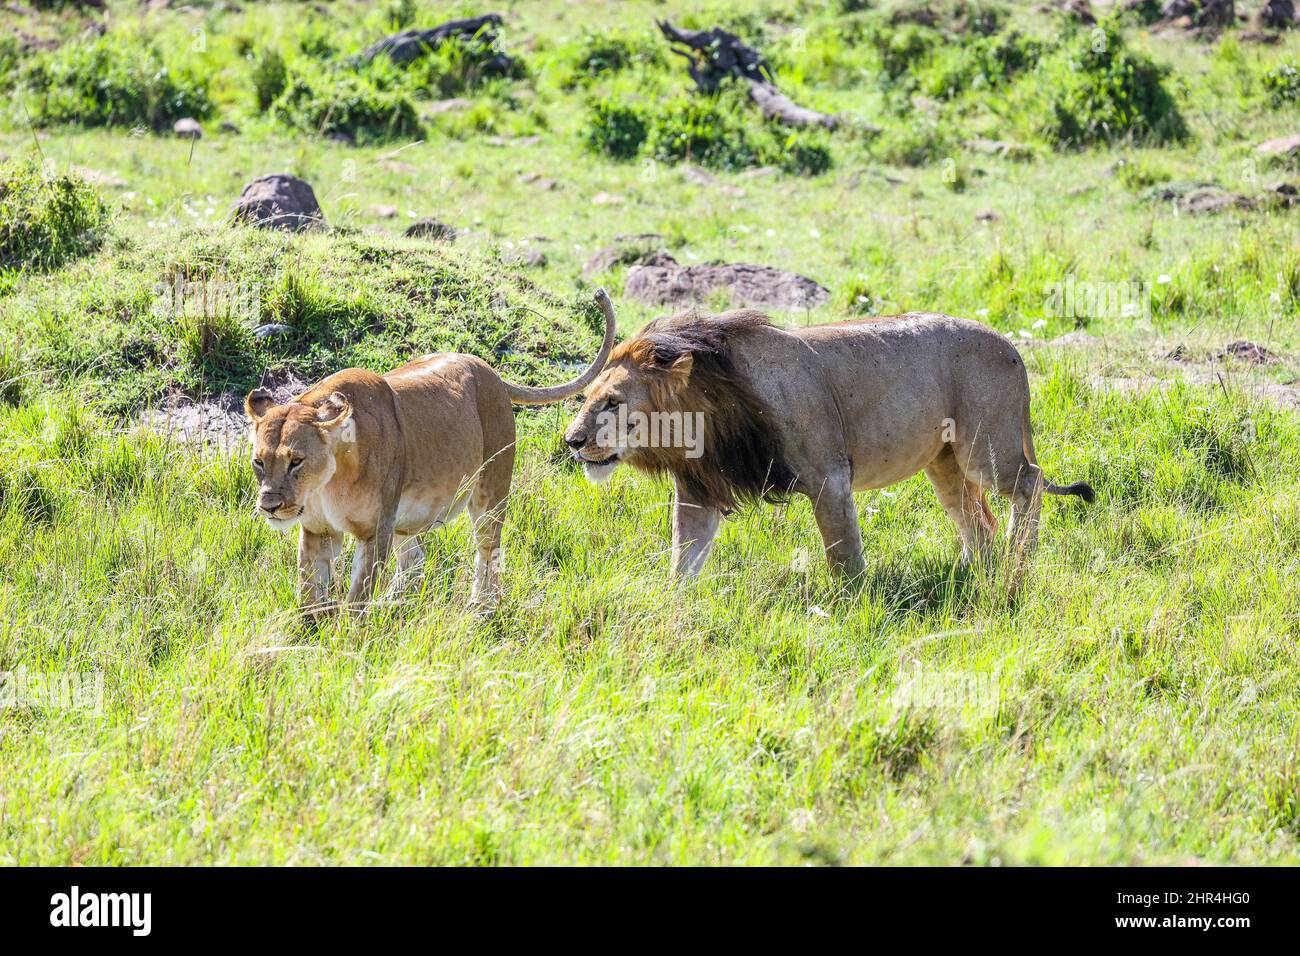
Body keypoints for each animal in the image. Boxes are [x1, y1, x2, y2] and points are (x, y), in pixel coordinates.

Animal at [246, 289, 617, 617]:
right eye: (258, 462)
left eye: (296, 461)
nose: (269, 506)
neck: (326, 482)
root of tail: (488, 368)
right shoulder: (318, 531)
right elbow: (309, 596)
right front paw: (309, 636)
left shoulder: (375, 530)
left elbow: (356, 600)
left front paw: (348, 639)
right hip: (405, 518)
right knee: (415, 561)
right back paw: (394, 607)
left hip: (490, 493)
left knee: (489, 551)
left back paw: (482, 608)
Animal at [563, 309, 1093, 591]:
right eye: (587, 398)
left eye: (613, 402)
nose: (572, 441)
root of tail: (1013, 346)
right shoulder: (698, 491)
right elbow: (683, 558)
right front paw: (674, 611)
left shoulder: (830, 478)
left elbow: (844, 557)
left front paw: (851, 612)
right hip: (943, 463)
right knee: (976, 520)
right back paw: (969, 575)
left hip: (985, 449)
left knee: (1029, 482)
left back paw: (1019, 560)